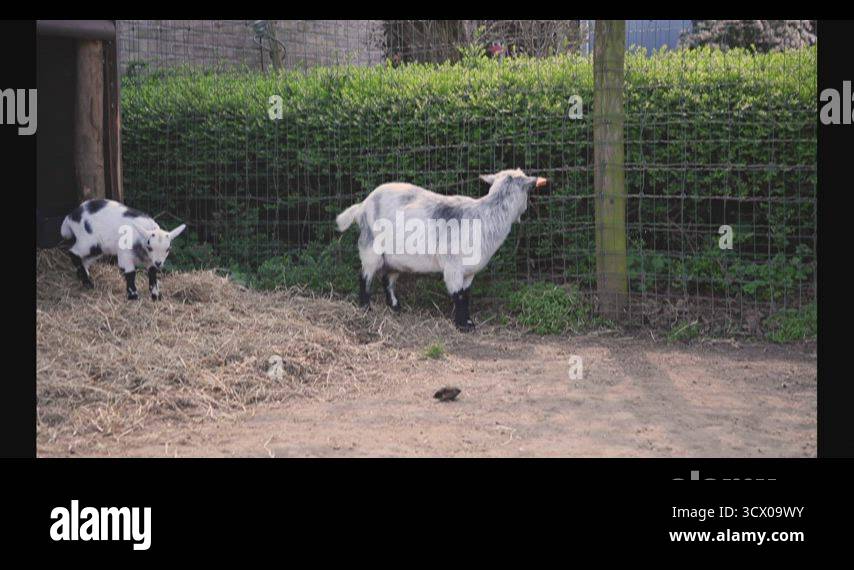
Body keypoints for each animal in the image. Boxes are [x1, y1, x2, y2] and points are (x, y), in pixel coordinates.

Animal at [336, 169, 547, 331]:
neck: (485, 217)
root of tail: (362, 205)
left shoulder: (469, 272)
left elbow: (466, 295)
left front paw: (468, 321)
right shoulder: (453, 267)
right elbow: (458, 296)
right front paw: (463, 326)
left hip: (396, 258)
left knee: (387, 278)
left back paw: (395, 307)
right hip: (370, 248)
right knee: (365, 277)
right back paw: (365, 308)